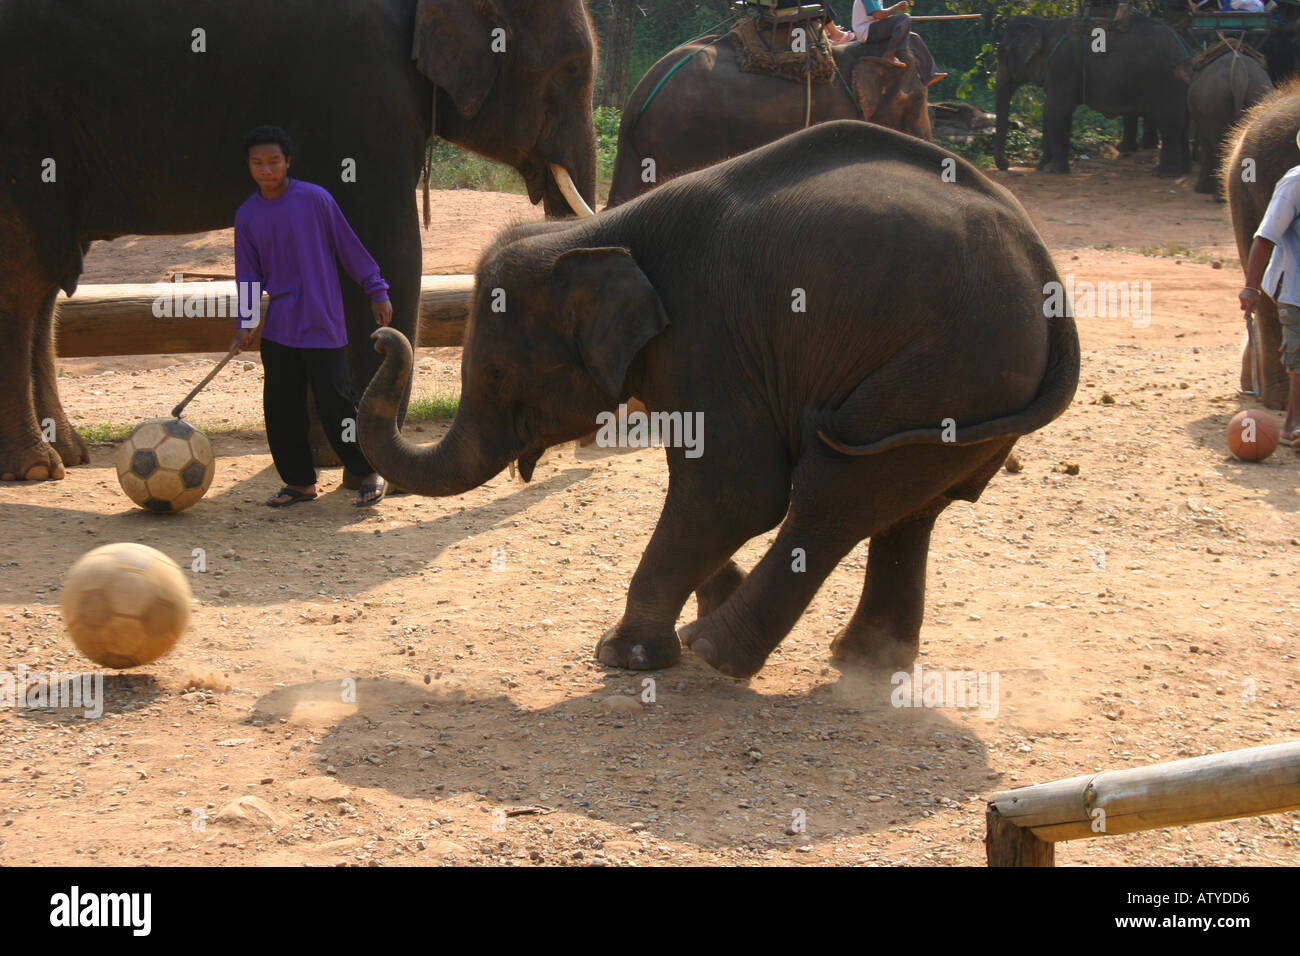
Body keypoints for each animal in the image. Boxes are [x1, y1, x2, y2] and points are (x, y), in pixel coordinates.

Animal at [0, 0, 597, 481]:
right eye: (571, 70)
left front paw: (327, 451)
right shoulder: (361, 82)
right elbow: (386, 245)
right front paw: (347, 452)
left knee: (45, 286)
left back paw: (68, 454)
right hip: (24, 118)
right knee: (24, 276)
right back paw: (35, 467)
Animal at [357, 121, 1080, 678]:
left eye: (498, 375)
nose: (380, 333)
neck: (602, 235)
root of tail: (1043, 267)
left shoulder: (709, 337)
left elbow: (737, 490)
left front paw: (626, 656)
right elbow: (710, 489)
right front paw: (694, 609)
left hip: (947, 366)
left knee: (833, 490)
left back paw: (717, 654)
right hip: (970, 390)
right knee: (909, 504)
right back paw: (863, 662)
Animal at [993, 14, 1193, 176]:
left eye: (1001, 53)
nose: (1007, 165)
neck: (1045, 24)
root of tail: (1184, 46)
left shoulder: (1063, 66)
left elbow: (1056, 111)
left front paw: (1053, 170)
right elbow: (1048, 112)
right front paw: (1041, 167)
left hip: (1166, 80)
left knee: (1169, 123)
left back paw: (1163, 173)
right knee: (1183, 123)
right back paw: (1183, 171)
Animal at [1188, 48, 1272, 196]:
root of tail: (1239, 72)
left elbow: (1205, 142)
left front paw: (1201, 189)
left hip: (1213, 101)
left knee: (1219, 142)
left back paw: (1220, 195)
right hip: (1258, 92)